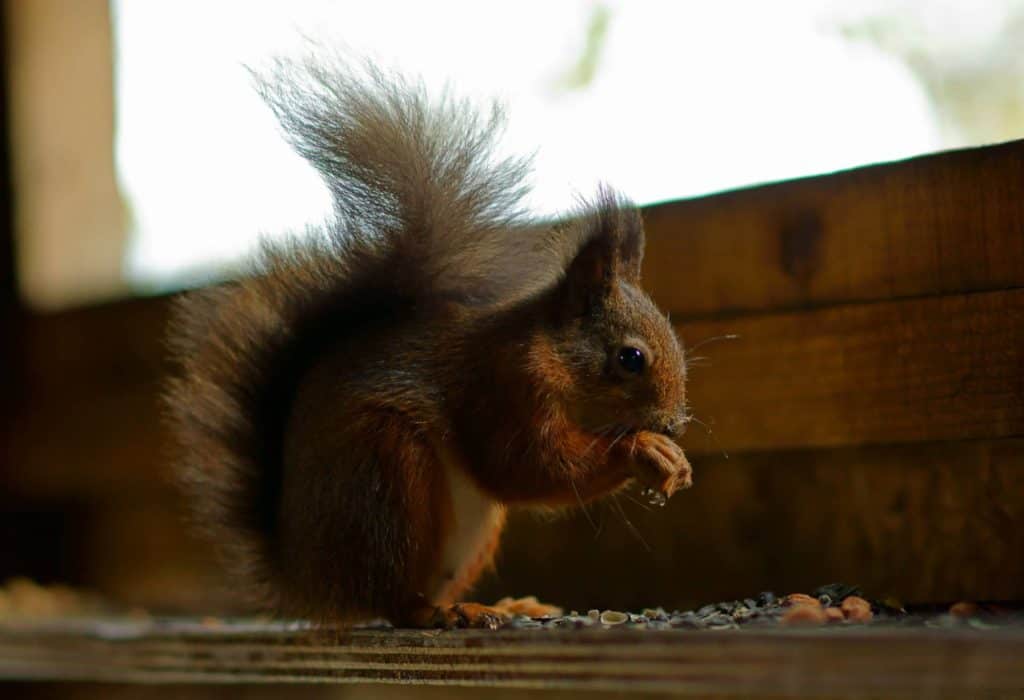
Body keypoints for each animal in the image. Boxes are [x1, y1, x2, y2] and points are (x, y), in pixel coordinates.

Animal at [166, 57, 692, 629]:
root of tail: (309, 579)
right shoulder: (502, 386)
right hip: (387, 476)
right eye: (630, 358)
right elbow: (526, 467)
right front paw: (645, 450)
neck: (549, 354)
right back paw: (441, 613)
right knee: (393, 600)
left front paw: (674, 460)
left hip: (469, 531)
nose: (672, 423)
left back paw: (499, 604)